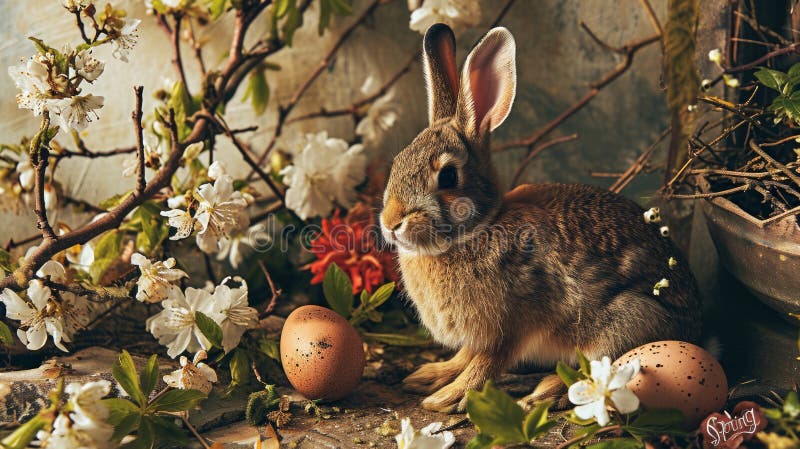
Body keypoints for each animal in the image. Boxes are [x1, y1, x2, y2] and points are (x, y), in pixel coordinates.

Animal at [378, 23, 701, 413]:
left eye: (449, 177)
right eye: (397, 162)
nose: (391, 223)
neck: (480, 228)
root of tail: (699, 328)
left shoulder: (510, 328)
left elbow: (484, 365)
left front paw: (446, 397)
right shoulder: (480, 334)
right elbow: (466, 356)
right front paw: (430, 376)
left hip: (625, 322)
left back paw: (547, 391)